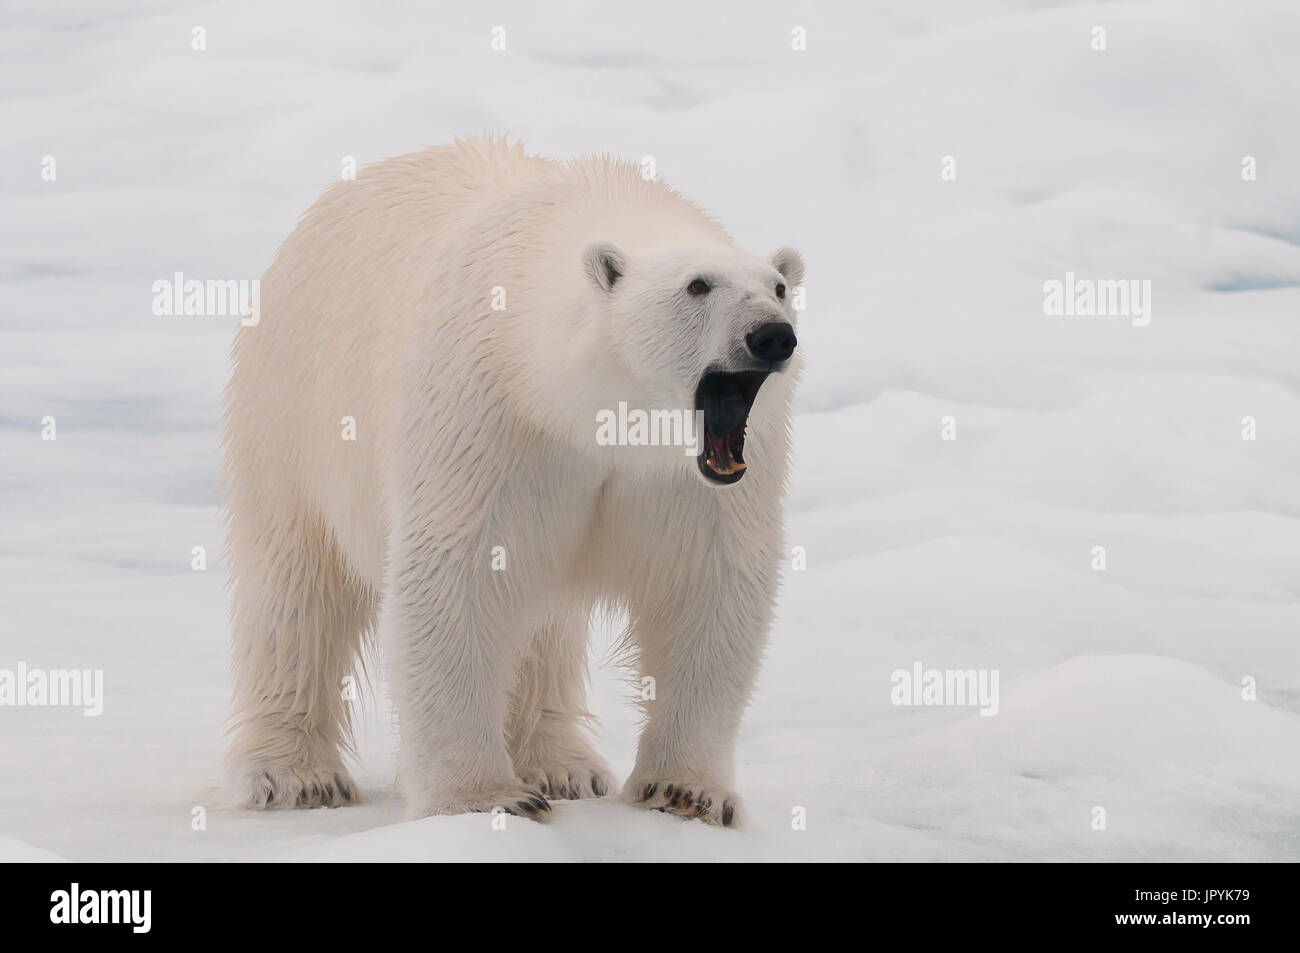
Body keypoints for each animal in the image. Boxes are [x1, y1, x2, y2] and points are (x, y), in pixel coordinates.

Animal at [221, 136, 804, 826]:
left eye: (779, 287)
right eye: (697, 285)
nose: (773, 335)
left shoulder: (692, 481)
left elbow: (710, 584)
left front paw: (686, 792)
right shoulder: (487, 416)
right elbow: (458, 573)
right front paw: (482, 799)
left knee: (544, 631)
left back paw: (562, 764)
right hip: (290, 414)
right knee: (296, 589)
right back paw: (294, 777)